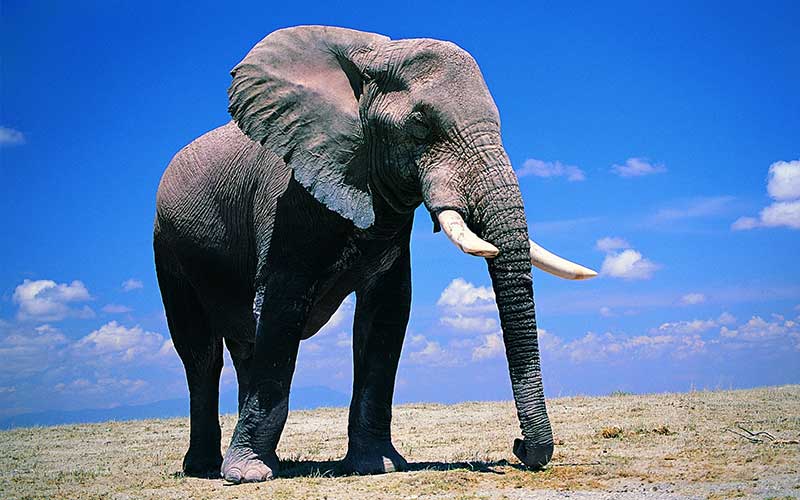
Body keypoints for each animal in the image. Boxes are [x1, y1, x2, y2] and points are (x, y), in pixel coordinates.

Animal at [153, 25, 597, 483]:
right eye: (420, 126)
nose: (520, 447)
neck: (371, 55)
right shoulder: (285, 203)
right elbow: (280, 310)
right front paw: (247, 476)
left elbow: (385, 315)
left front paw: (376, 466)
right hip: (167, 246)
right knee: (200, 353)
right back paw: (208, 467)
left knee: (243, 346)